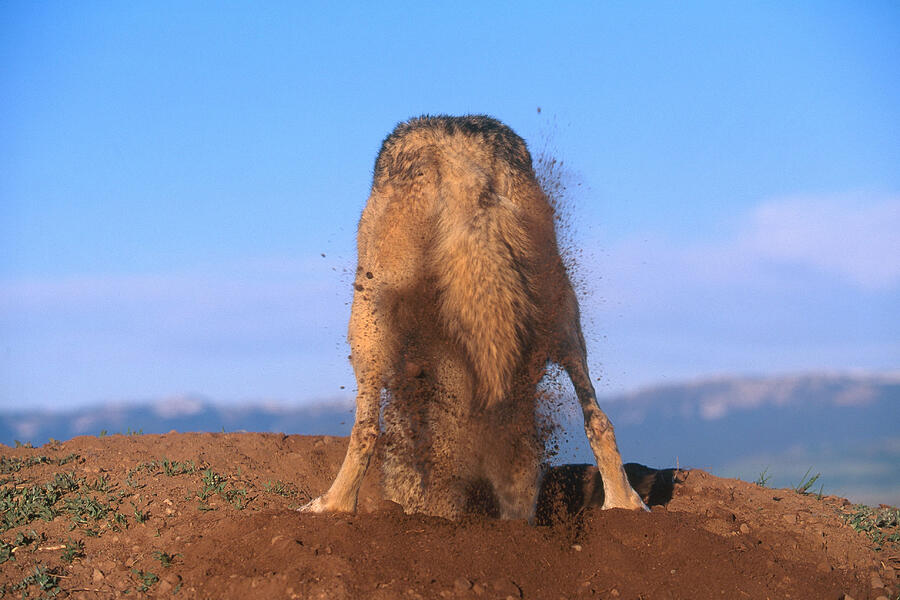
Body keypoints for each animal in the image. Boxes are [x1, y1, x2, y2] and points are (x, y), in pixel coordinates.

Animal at [301, 115, 646, 519]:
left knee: (366, 429)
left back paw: (329, 505)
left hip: (367, 315)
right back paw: (623, 504)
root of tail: (462, 159)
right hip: (562, 313)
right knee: (597, 421)